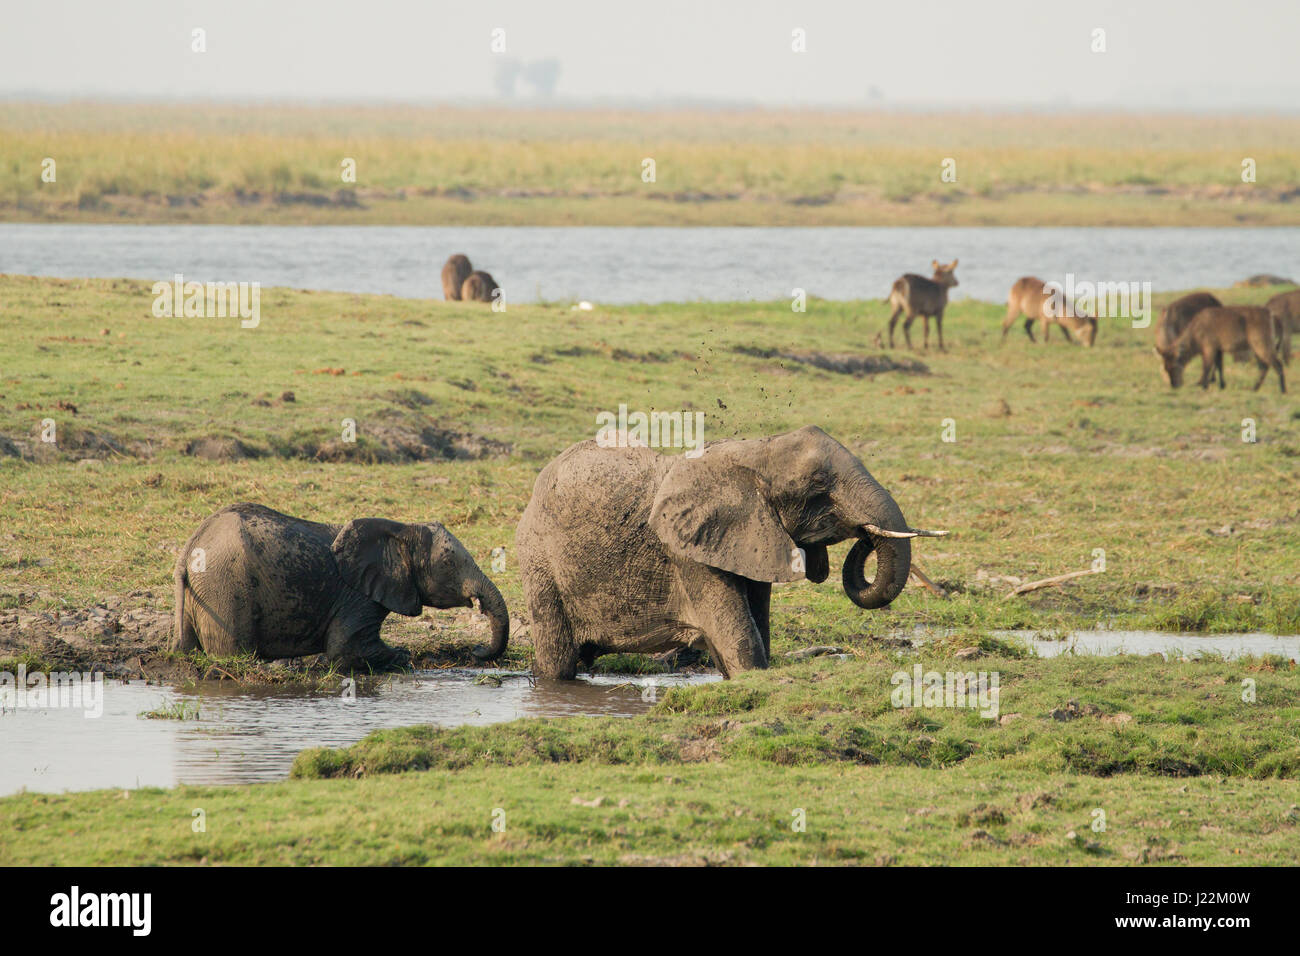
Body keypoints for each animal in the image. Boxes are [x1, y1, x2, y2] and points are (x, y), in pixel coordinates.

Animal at [172, 503, 509, 670]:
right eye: (449, 563)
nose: (476, 650)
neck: (400, 529)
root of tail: (188, 548)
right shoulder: (357, 596)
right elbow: (345, 650)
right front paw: (403, 656)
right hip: (225, 588)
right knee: (234, 656)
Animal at [516, 426, 920, 679]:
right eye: (819, 483)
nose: (865, 535)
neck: (753, 452)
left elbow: (756, 626)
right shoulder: (688, 554)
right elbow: (739, 636)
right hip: (539, 560)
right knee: (557, 658)